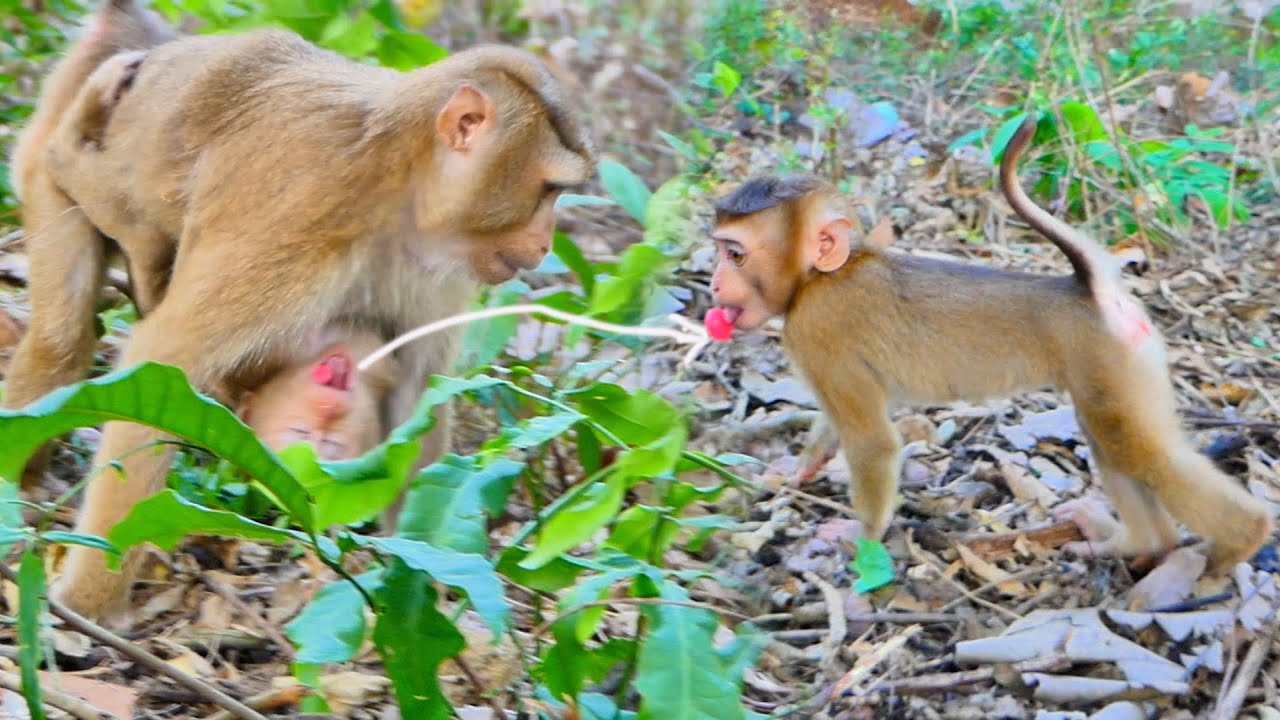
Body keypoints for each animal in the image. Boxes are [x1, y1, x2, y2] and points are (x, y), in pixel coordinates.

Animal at [4, 0, 593, 625]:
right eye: (548, 190)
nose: (544, 244)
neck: (400, 182)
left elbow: (415, 403)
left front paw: (413, 593)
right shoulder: (306, 209)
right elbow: (165, 363)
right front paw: (88, 602)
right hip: (47, 159)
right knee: (63, 327)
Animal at [707, 116, 1273, 576]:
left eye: (735, 255)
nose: (712, 283)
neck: (820, 278)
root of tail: (1091, 289)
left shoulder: (817, 330)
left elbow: (873, 443)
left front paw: (860, 536)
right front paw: (802, 467)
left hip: (1110, 358)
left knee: (1136, 447)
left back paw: (1242, 541)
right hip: (1120, 364)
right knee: (1113, 439)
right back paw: (1138, 543)